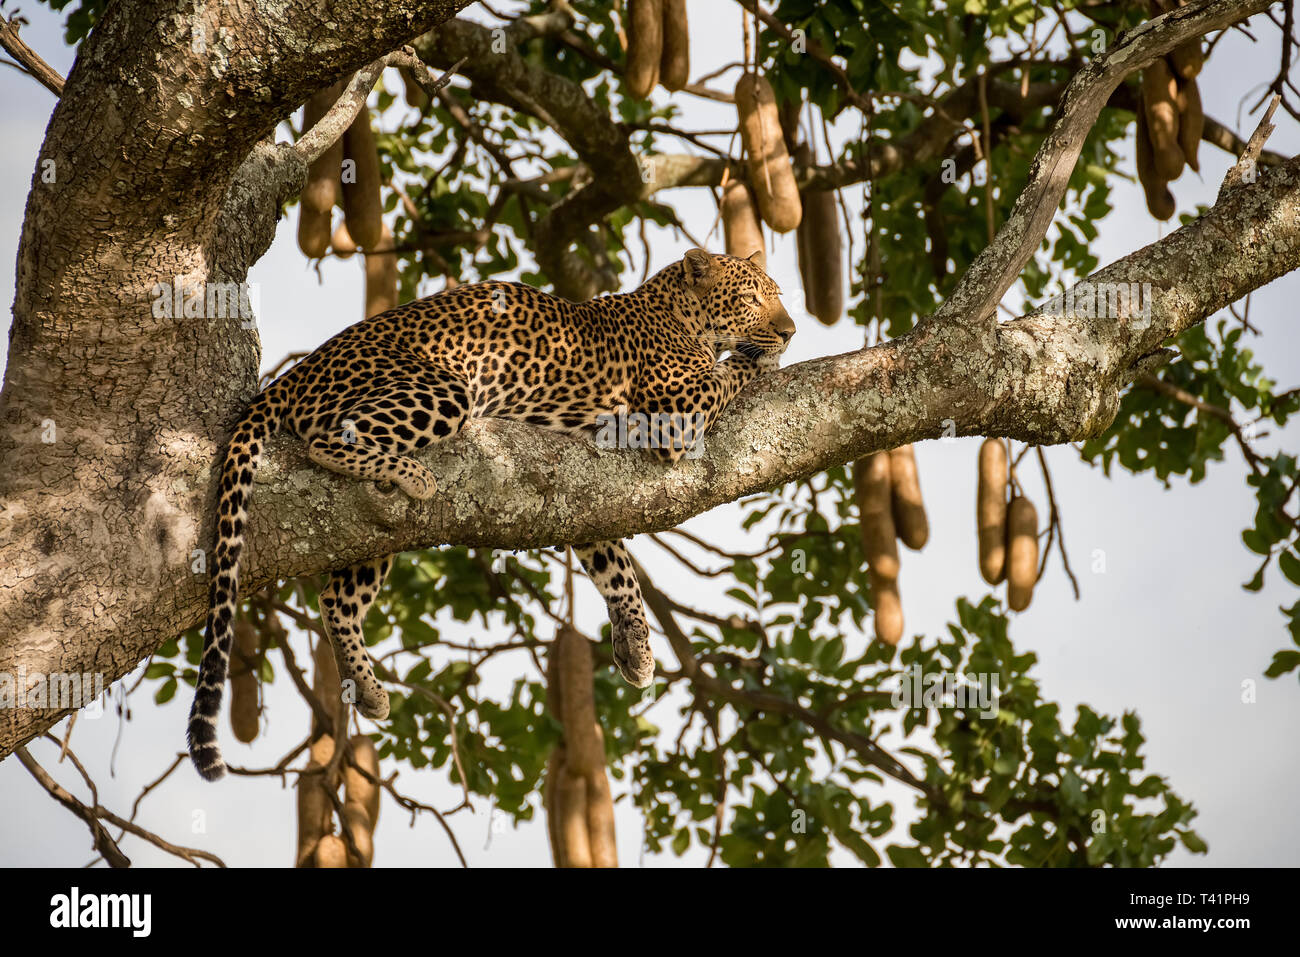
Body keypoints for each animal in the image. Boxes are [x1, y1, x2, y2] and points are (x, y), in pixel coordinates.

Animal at [187, 247, 796, 780]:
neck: (678, 311)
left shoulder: (586, 501)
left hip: (370, 532)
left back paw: (369, 690)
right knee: (325, 443)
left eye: (779, 295)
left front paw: (637, 648)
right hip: (441, 389)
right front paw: (759, 356)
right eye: (750, 297)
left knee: (336, 597)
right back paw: (414, 475)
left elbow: (618, 569)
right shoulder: (673, 414)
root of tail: (296, 372)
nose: (790, 329)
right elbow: (729, 373)